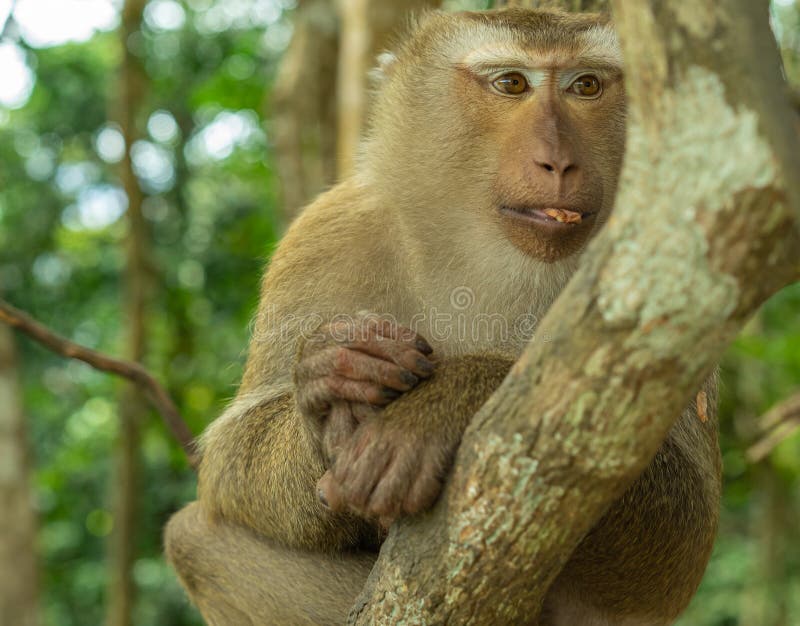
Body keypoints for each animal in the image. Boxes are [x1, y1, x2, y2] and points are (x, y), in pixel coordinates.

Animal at [164, 8, 721, 626]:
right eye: (511, 83)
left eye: (586, 86)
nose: (558, 160)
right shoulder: (327, 234)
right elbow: (227, 462)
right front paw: (332, 387)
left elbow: (688, 528)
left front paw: (450, 400)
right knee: (196, 539)